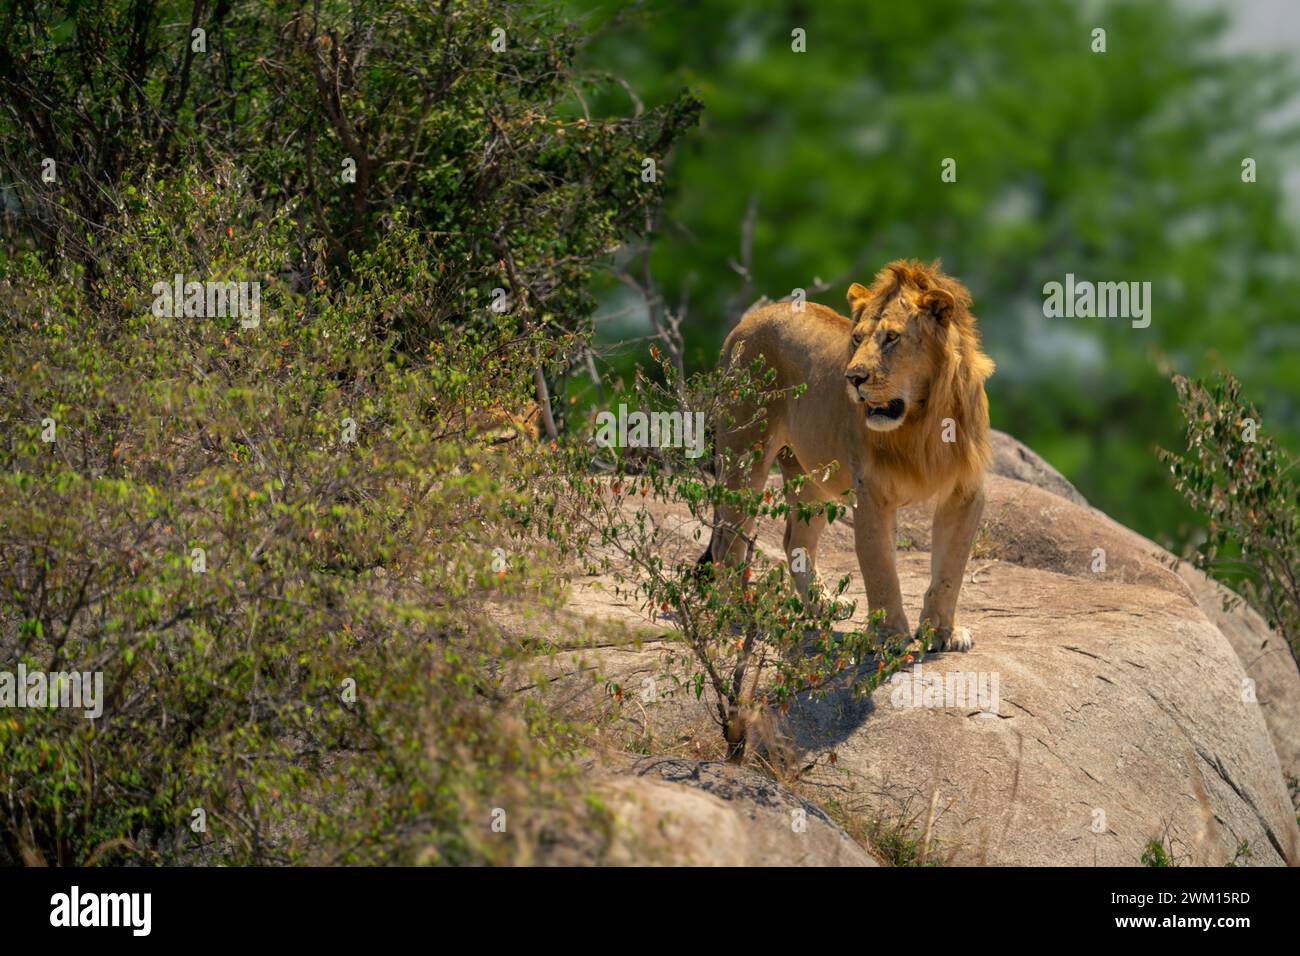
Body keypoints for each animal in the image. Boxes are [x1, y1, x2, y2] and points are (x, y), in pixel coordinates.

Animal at [699, 259, 995, 651]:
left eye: (892, 338)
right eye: (857, 338)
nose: (853, 377)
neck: (923, 422)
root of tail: (748, 321)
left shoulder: (965, 491)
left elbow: (951, 567)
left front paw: (942, 632)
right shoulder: (870, 490)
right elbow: (880, 566)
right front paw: (889, 636)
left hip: (811, 476)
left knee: (795, 540)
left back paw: (823, 604)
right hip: (744, 455)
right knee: (726, 540)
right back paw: (734, 611)